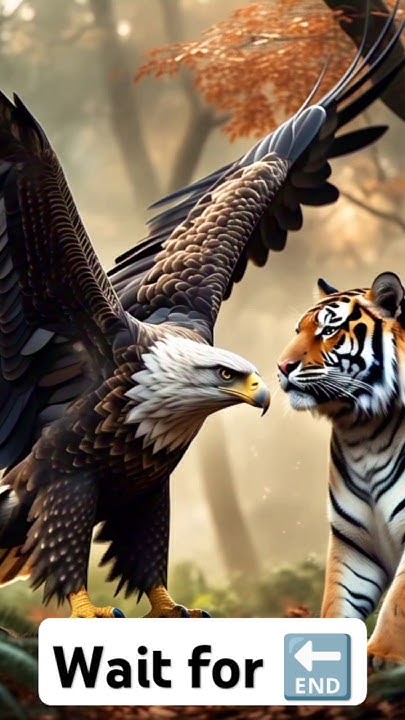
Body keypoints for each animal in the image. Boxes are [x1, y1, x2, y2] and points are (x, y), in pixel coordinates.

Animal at [277, 271, 405, 664]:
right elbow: (339, 597)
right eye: (298, 329)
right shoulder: (354, 541)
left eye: (329, 329)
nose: (281, 367)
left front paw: (383, 656)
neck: (364, 430)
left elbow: (399, 601)